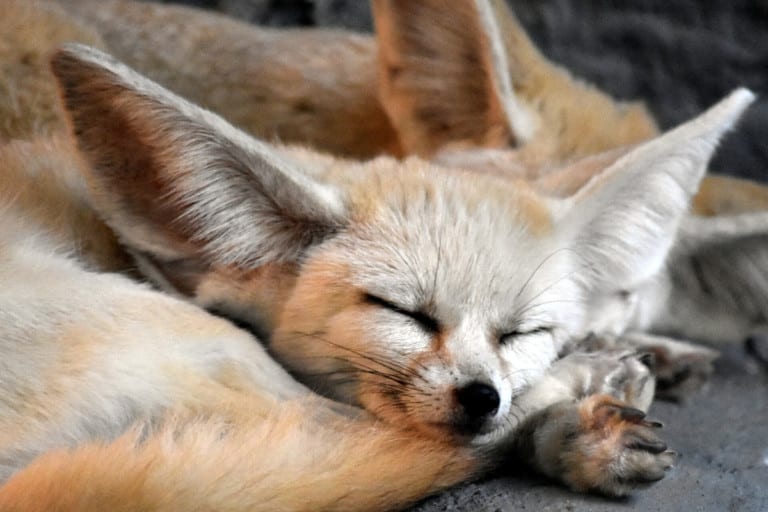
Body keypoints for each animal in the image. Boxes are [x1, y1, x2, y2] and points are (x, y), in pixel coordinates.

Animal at [0, 41, 753, 509]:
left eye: (521, 331)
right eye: (404, 313)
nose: (481, 397)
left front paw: (647, 349)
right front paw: (591, 383)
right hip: (211, 347)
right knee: (365, 442)